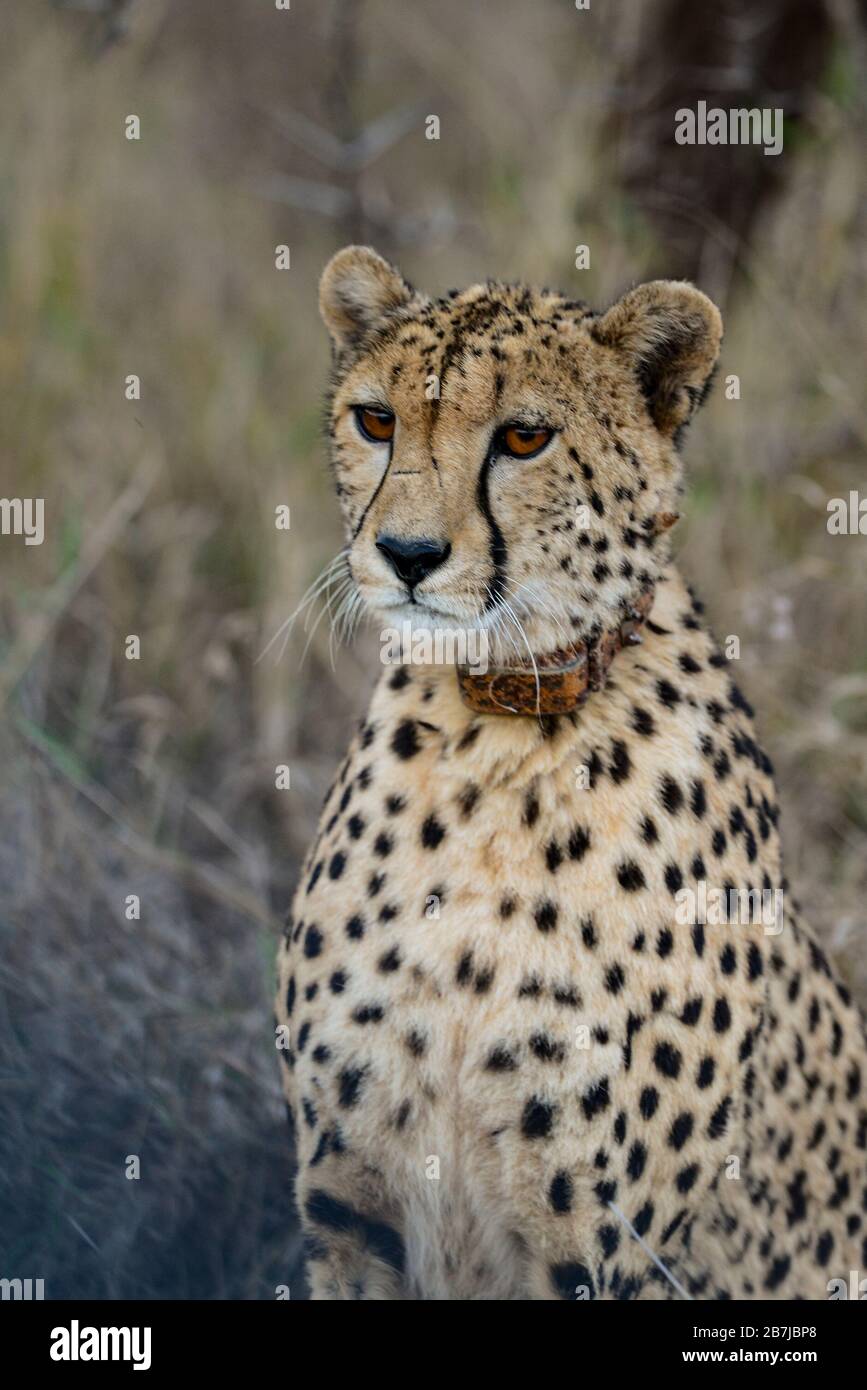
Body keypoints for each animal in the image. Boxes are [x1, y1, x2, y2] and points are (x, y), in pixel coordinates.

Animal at [275, 245, 867, 1301]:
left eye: (523, 437)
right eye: (376, 420)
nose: (407, 554)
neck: (500, 735)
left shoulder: (598, 1254)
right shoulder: (350, 1214)